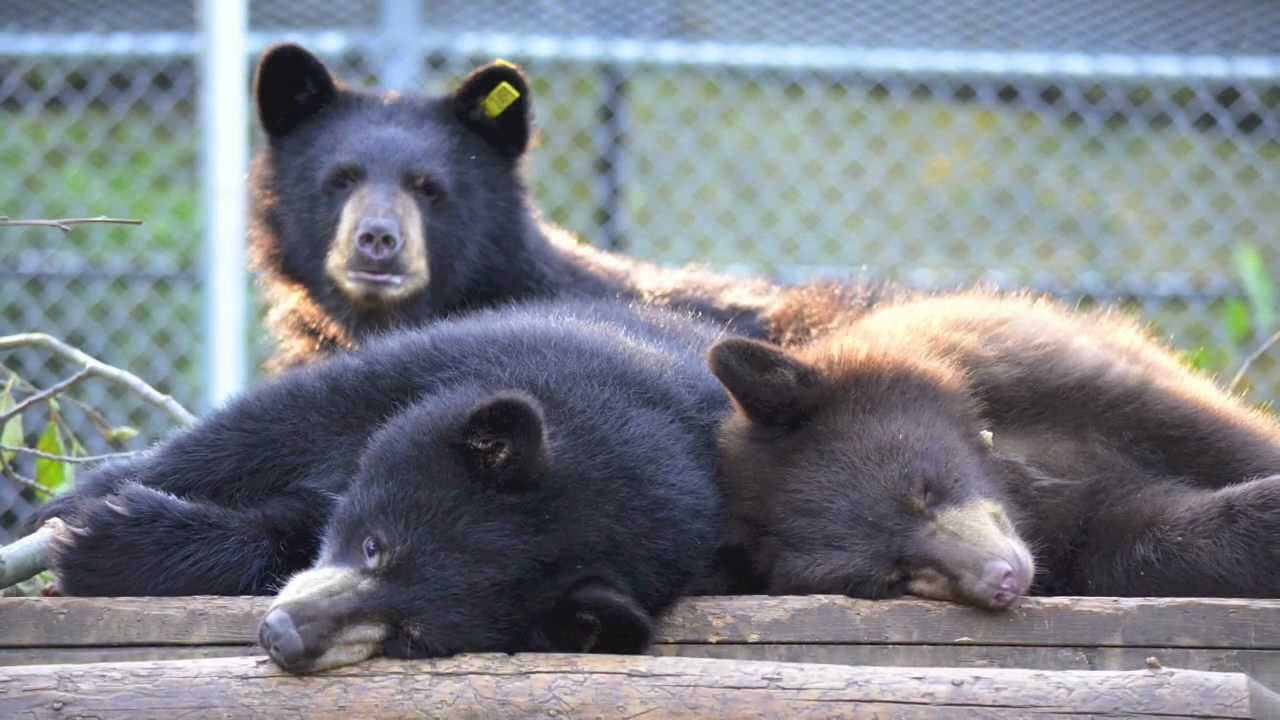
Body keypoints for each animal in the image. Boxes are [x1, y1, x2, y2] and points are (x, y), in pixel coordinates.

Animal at [29, 299, 729, 671]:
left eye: (410, 636)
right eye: (372, 545)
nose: (285, 637)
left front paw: (110, 539)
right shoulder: (485, 354)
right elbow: (275, 425)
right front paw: (77, 512)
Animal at [707, 289, 1280, 609]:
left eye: (924, 489)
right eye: (893, 577)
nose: (1002, 580)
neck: (1014, 480)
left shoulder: (1058, 382)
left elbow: (1225, 441)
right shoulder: (1080, 538)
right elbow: (1152, 539)